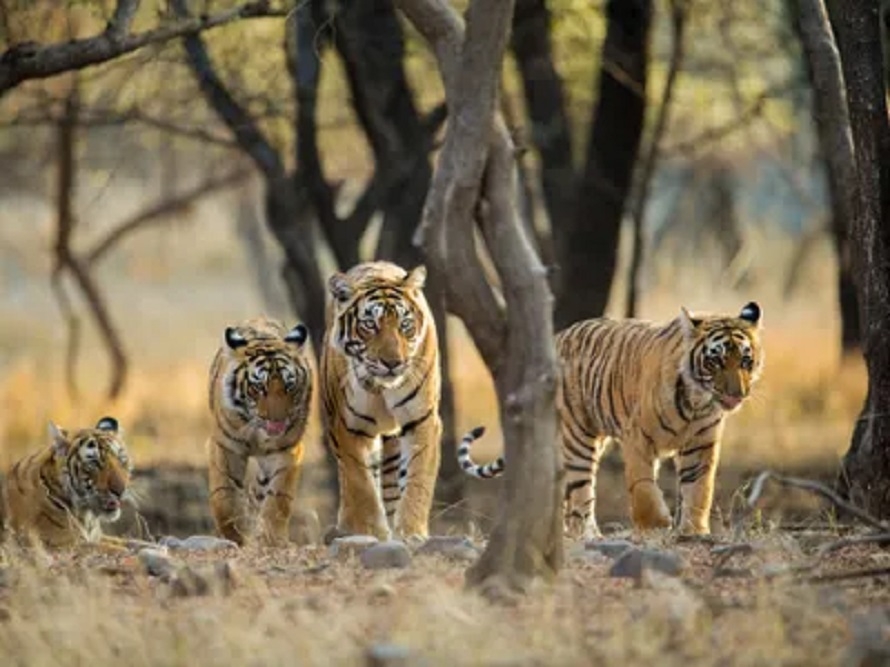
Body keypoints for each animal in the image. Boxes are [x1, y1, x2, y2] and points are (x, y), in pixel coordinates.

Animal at [3, 416, 133, 549]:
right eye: (94, 463)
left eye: (122, 460)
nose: (120, 491)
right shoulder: (65, 543)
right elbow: (120, 550)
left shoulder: (98, 537)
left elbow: (132, 542)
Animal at [207, 317, 314, 546]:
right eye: (258, 387)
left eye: (289, 386)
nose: (277, 421)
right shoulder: (226, 446)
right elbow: (224, 496)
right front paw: (234, 536)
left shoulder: (286, 451)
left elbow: (278, 499)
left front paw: (271, 539)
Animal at [320, 261, 442, 541]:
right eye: (369, 325)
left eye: (404, 324)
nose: (393, 363)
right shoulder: (349, 428)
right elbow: (360, 484)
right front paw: (369, 531)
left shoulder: (422, 420)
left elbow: (418, 479)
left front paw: (411, 533)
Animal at [458, 302, 764, 539]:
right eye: (716, 361)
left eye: (745, 361)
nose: (737, 394)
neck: (696, 402)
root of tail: (557, 338)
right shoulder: (638, 437)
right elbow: (642, 486)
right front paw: (657, 524)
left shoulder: (701, 444)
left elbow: (699, 488)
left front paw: (693, 531)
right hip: (578, 438)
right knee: (581, 494)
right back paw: (588, 535)